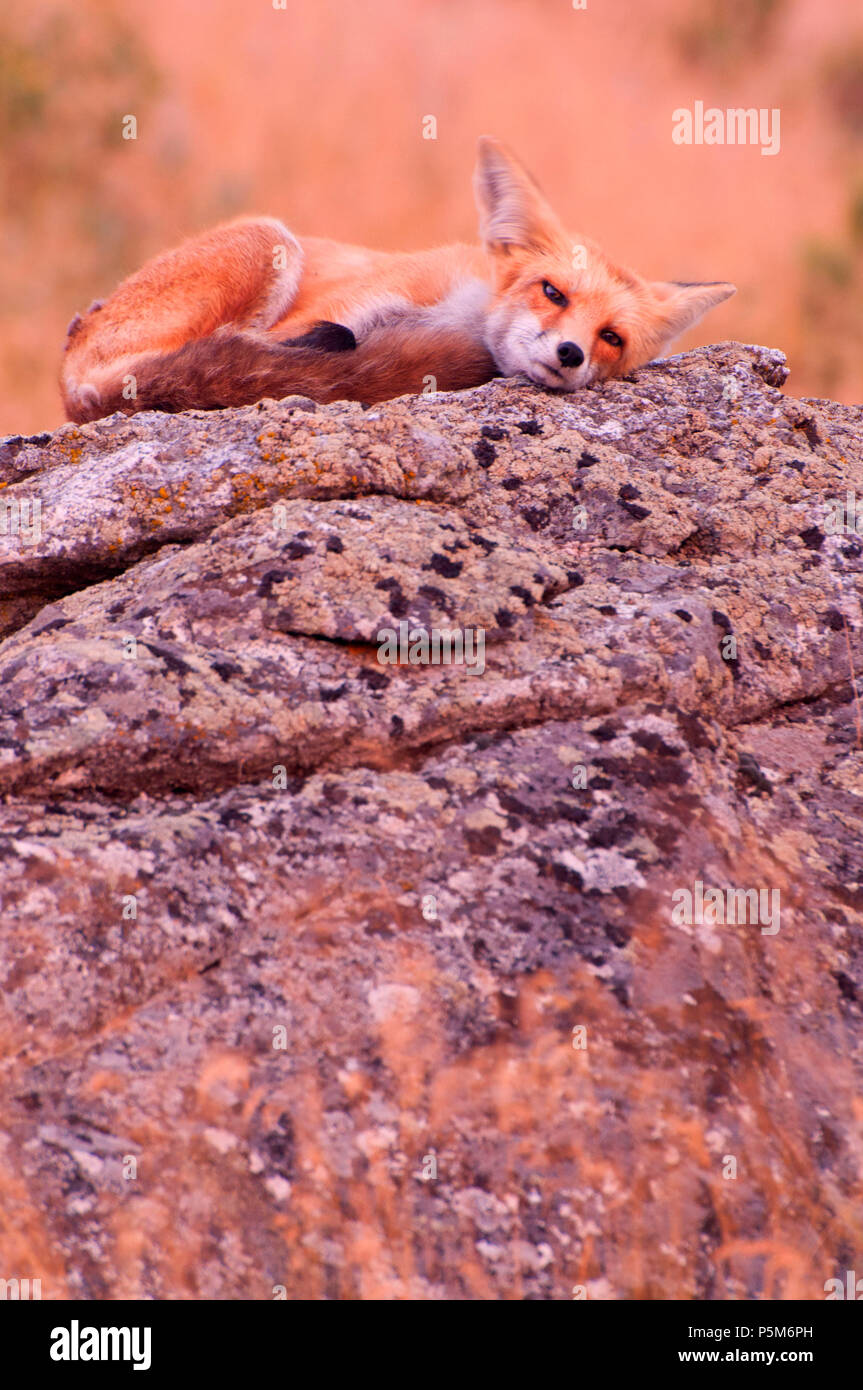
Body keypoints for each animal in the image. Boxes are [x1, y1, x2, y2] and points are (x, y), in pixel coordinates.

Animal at [60, 138, 735, 424]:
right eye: (553, 292)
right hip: (268, 240)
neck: (456, 311)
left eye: (612, 338)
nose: (571, 354)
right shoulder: (333, 313)